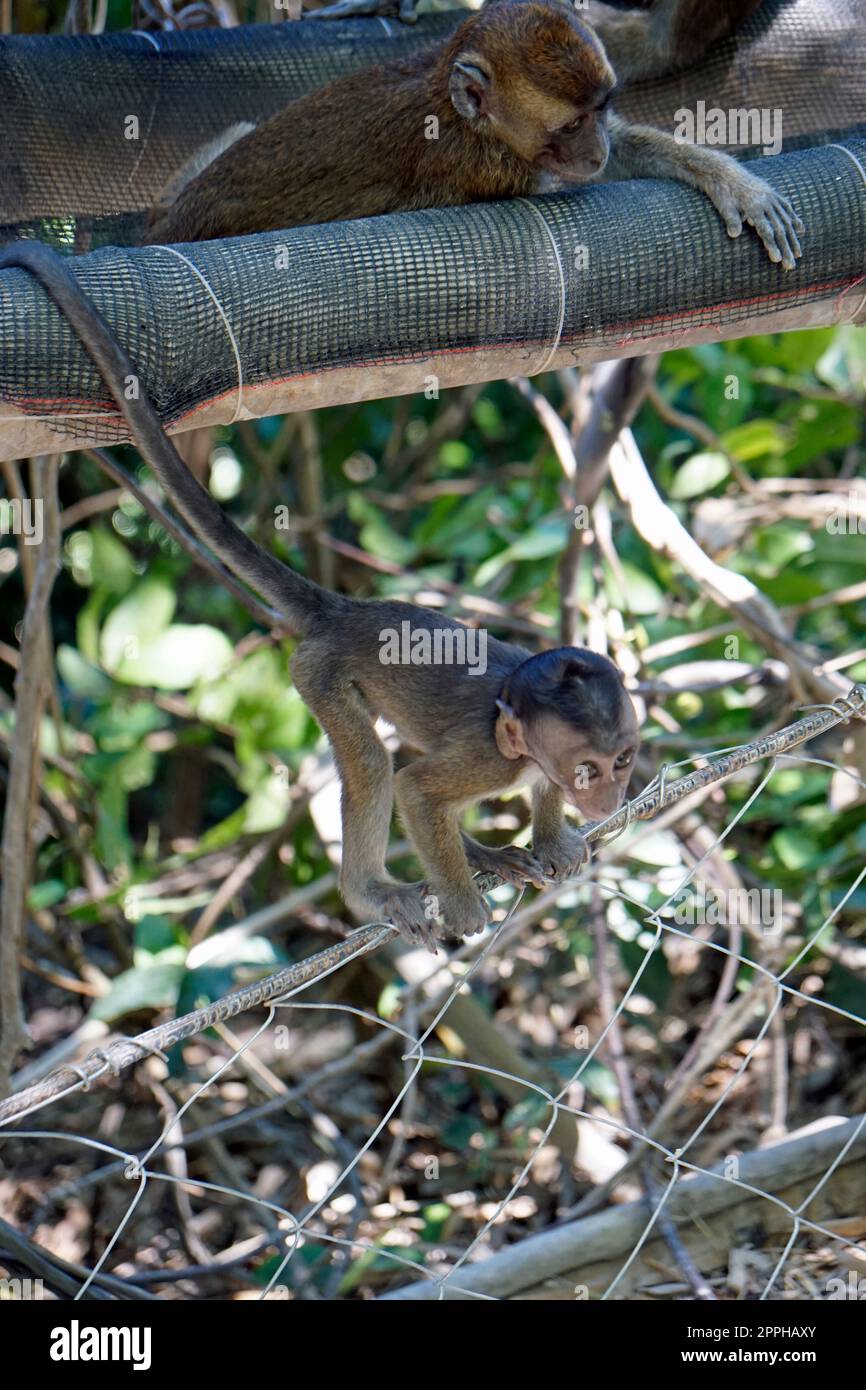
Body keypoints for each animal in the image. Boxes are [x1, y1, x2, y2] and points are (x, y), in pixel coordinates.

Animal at [0, 241, 640, 950]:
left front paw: (551, 840)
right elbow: (416, 791)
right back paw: (371, 892)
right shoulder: (488, 759)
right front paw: (463, 903)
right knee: (374, 764)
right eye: (588, 769)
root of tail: (348, 610)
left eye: (622, 761)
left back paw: (477, 854)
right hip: (318, 672)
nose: (608, 798)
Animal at [144, 0, 803, 270]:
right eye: (571, 125)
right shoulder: (483, 167)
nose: (595, 151)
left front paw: (731, 181)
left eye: (601, 109)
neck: (458, 113)